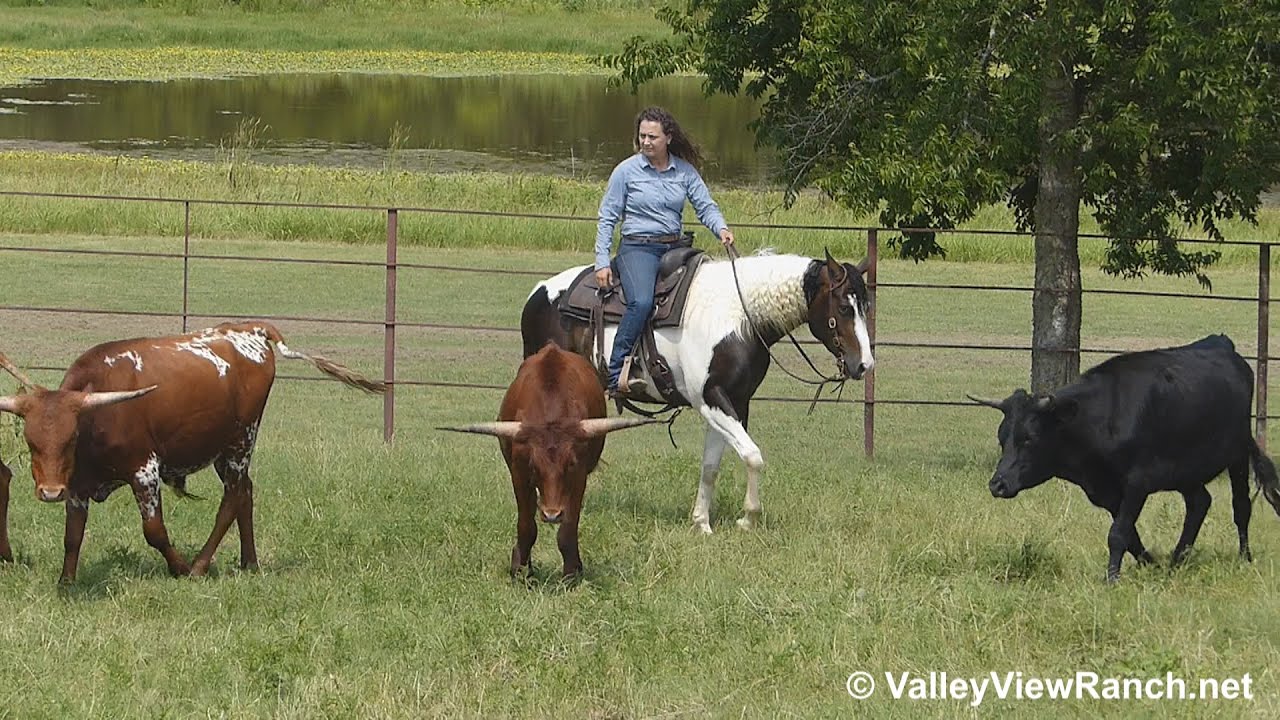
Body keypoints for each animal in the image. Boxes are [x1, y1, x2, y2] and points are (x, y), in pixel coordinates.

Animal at [0, 321, 385, 583]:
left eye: (70, 439)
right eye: (31, 443)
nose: (50, 492)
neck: (99, 417)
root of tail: (250, 329)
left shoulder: (145, 471)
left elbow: (154, 531)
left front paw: (180, 568)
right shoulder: (78, 485)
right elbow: (72, 536)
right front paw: (66, 582)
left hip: (241, 441)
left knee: (231, 500)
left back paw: (201, 564)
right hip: (222, 448)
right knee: (245, 493)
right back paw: (250, 562)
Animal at [440, 343, 657, 579]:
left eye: (570, 464)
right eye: (533, 465)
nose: (552, 514)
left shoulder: (579, 477)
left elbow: (569, 527)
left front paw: (572, 573)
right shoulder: (519, 474)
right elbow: (526, 524)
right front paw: (520, 570)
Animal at [970, 334, 1280, 582]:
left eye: (1029, 438)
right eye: (1002, 438)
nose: (997, 485)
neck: (1104, 418)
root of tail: (1223, 346)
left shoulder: (1137, 482)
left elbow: (1118, 533)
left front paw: (1112, 578)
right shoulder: (1106, 491)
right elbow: (1129, 534)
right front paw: (1150, 564)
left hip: (1236, 454)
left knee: (1240, 507)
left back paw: (1244, 558)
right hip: (1185, 471)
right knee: (1199, 503)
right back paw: (1176, 561)